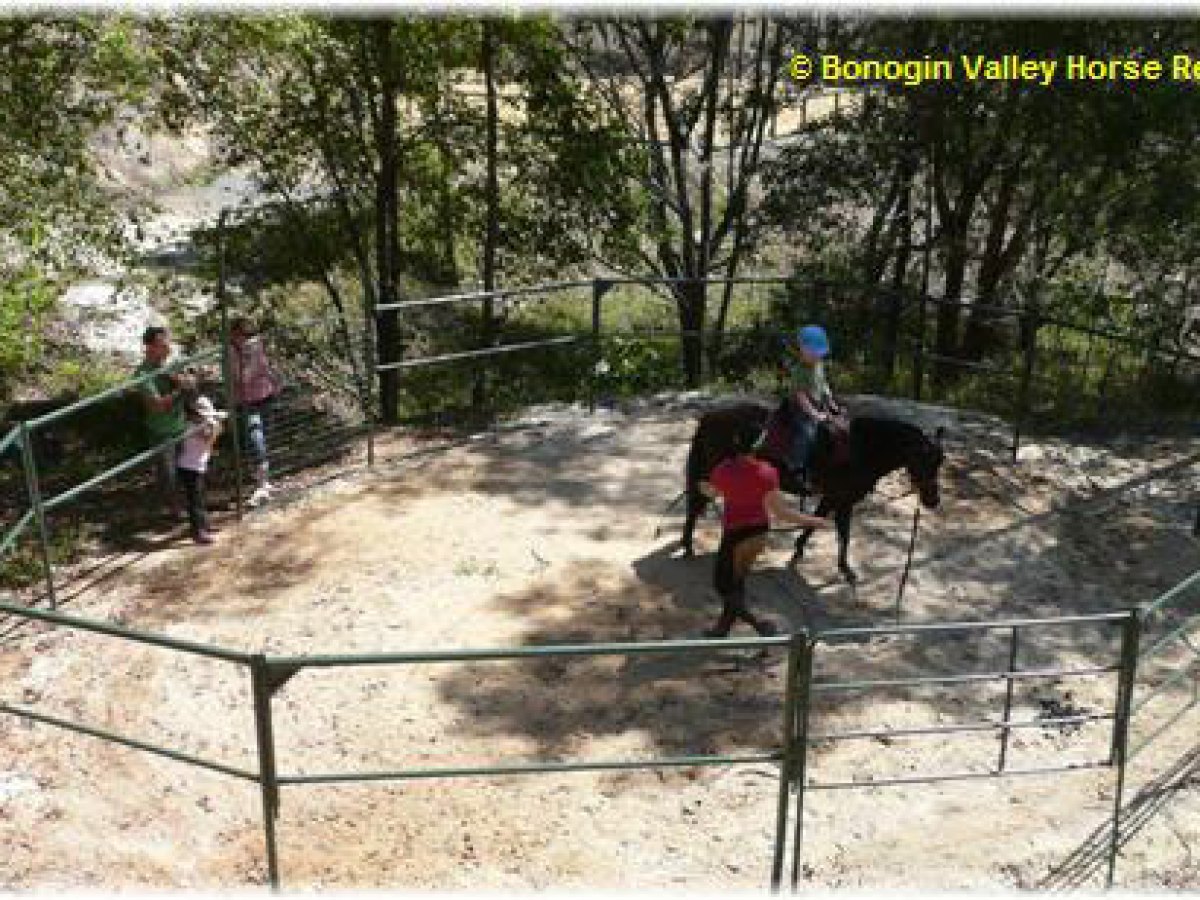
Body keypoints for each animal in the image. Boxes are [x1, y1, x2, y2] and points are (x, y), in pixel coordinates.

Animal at [681, 401, 946, 584]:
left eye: (940, 461)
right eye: (924, 459)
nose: (933, 500)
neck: (861, 449)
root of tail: (710, 417)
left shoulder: (832, 497)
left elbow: (816, 522)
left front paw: (799, 549)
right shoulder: (843, 499)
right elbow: (843, 533)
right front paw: (845, 569)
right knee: (694, 504)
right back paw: (690, 547)